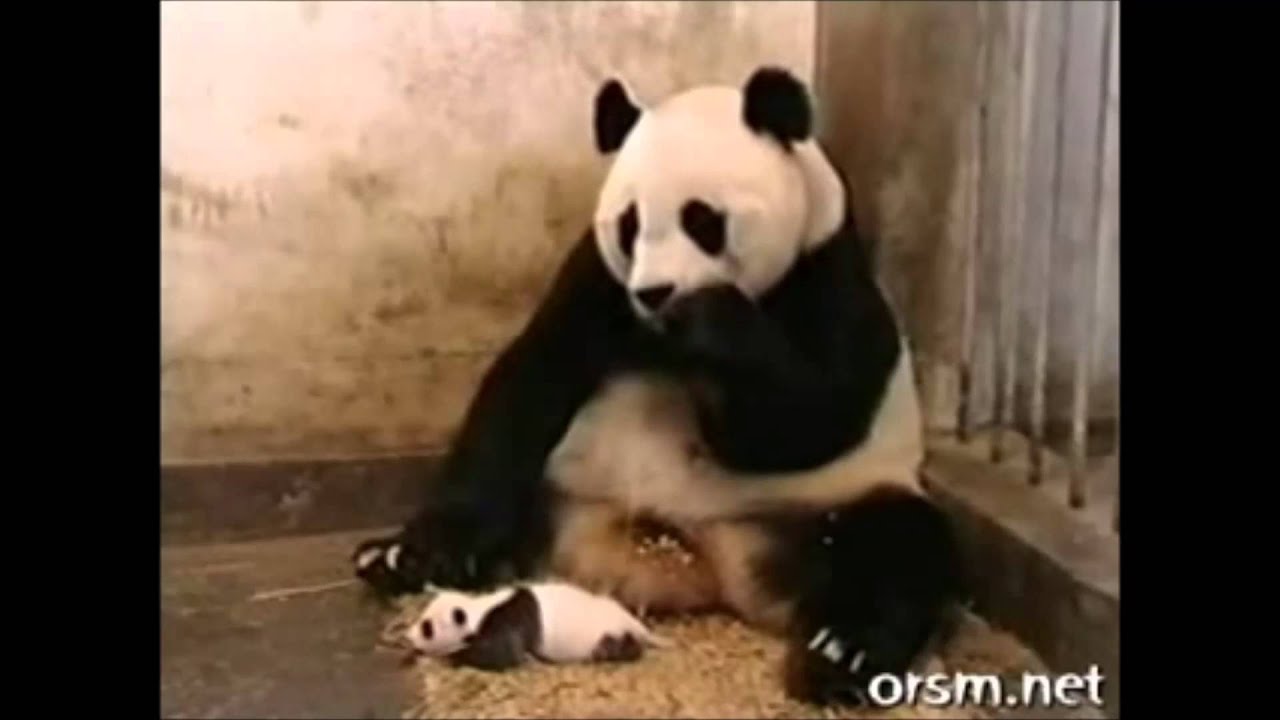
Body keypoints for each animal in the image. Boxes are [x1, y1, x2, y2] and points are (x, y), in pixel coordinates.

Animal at [353, 66, 962, 706]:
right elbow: (532, 378)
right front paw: (427, 548)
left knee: (899, 547)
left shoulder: (827, 273)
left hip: (821, 505)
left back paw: (839, 653)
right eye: (630, 224)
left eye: (703, 220)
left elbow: (809, 421)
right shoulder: (598, 280)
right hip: (563, 488)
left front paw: (712, 323)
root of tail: (697, 566)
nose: (655, 292)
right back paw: (395, 560)